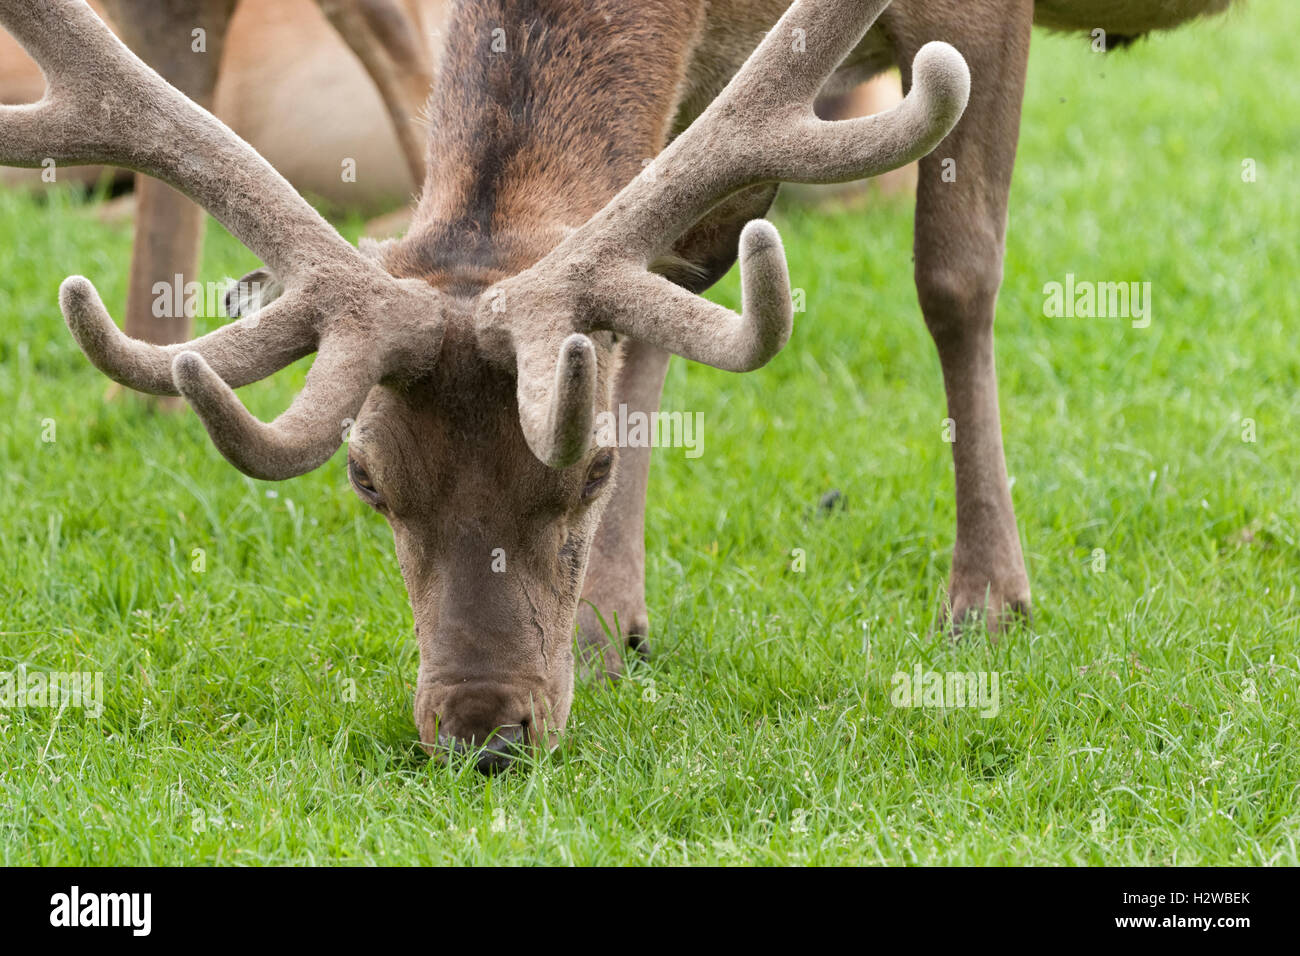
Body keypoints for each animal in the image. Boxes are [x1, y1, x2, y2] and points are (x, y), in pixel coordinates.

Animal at [0, 0, 1241, 772]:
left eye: (586, 468)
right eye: (367, 480)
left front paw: (987, 596)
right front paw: (609, 621)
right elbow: (656, 300)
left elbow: (957, 275)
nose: (484, 731)